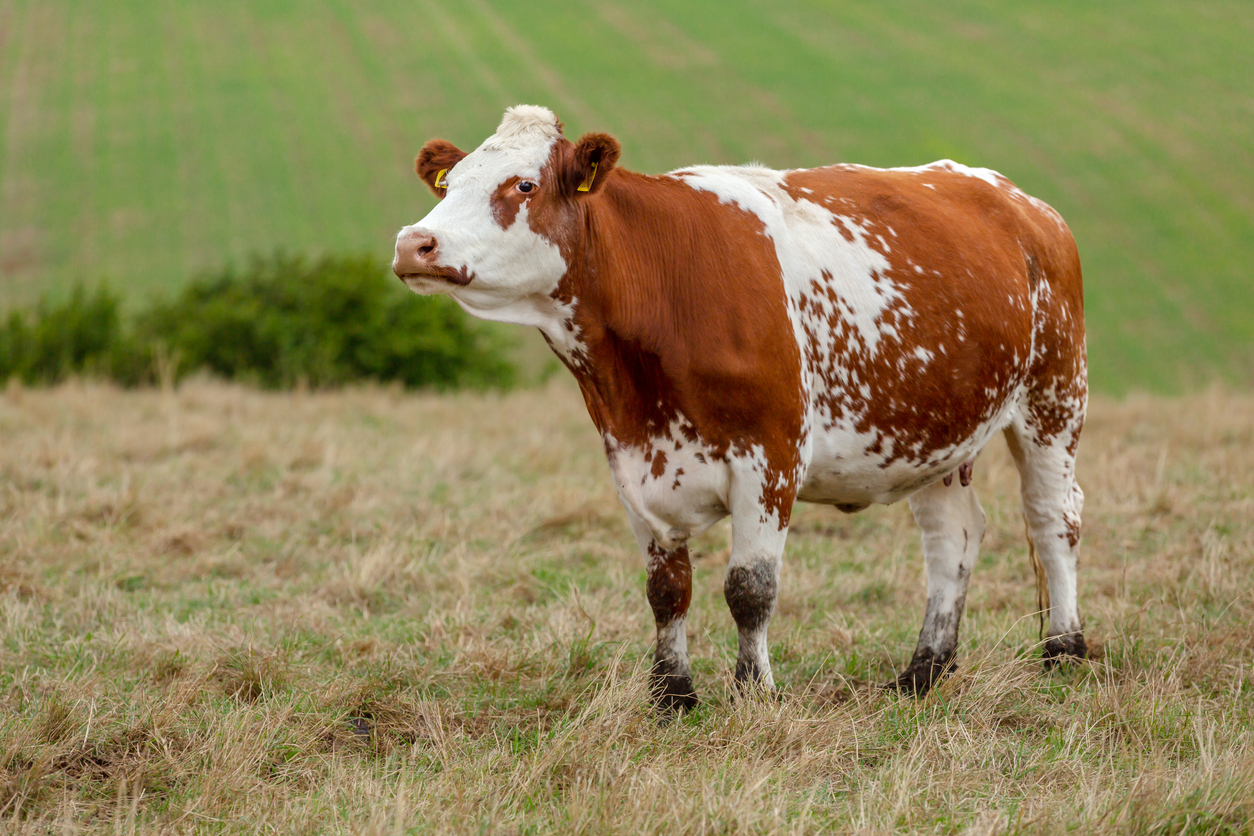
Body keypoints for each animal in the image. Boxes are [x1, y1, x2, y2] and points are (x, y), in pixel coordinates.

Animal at [392, 105, 1088, 711]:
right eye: (449, 183)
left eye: (524, 184)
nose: (413, 242)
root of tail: (1024, 202)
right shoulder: (632, 463)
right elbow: (666, 591)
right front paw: (671, 697)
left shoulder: (770, 458)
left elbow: (749, 589)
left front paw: (754, 693)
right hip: (932, 432)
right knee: (953, 537)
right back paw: (924, 671)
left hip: (1054, 403)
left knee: (1053, 520)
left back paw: (1065, 651)